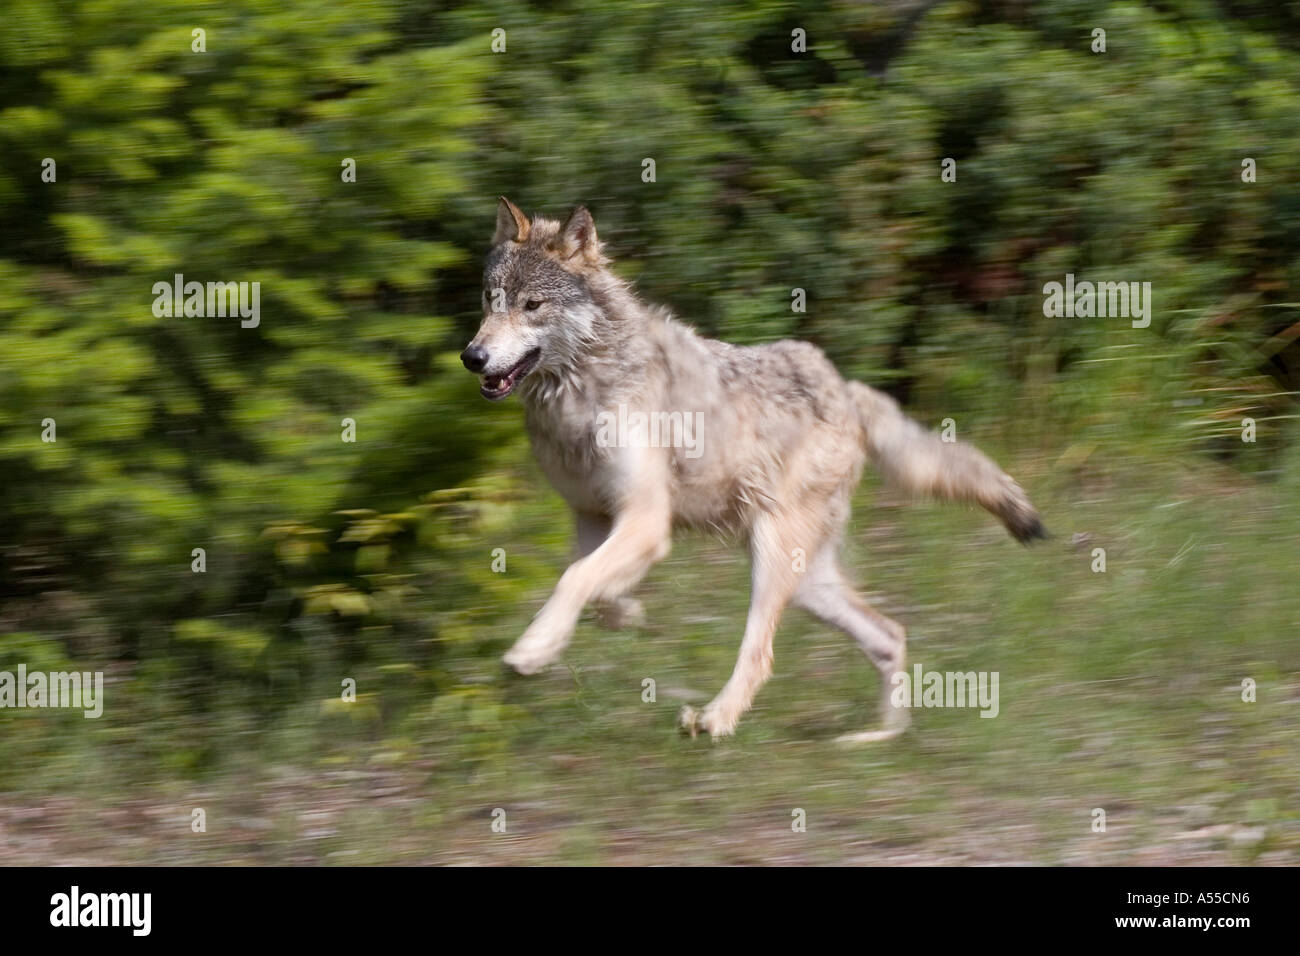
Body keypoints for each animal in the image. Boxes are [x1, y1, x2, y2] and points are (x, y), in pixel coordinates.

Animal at [461, 197, 1045, 741]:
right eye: (490, 301)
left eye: (533, 305)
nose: (472, 356)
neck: (580, 395)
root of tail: (848, 391)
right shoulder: (591, 516)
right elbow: (585, 583)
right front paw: (616, 613)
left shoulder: (647, 521)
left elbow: (575, 579)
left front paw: (532, 650)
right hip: (808, 582)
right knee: (890, 634)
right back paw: (875, 740)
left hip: (772, 558)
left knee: (762, 654)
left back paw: (716, 720)